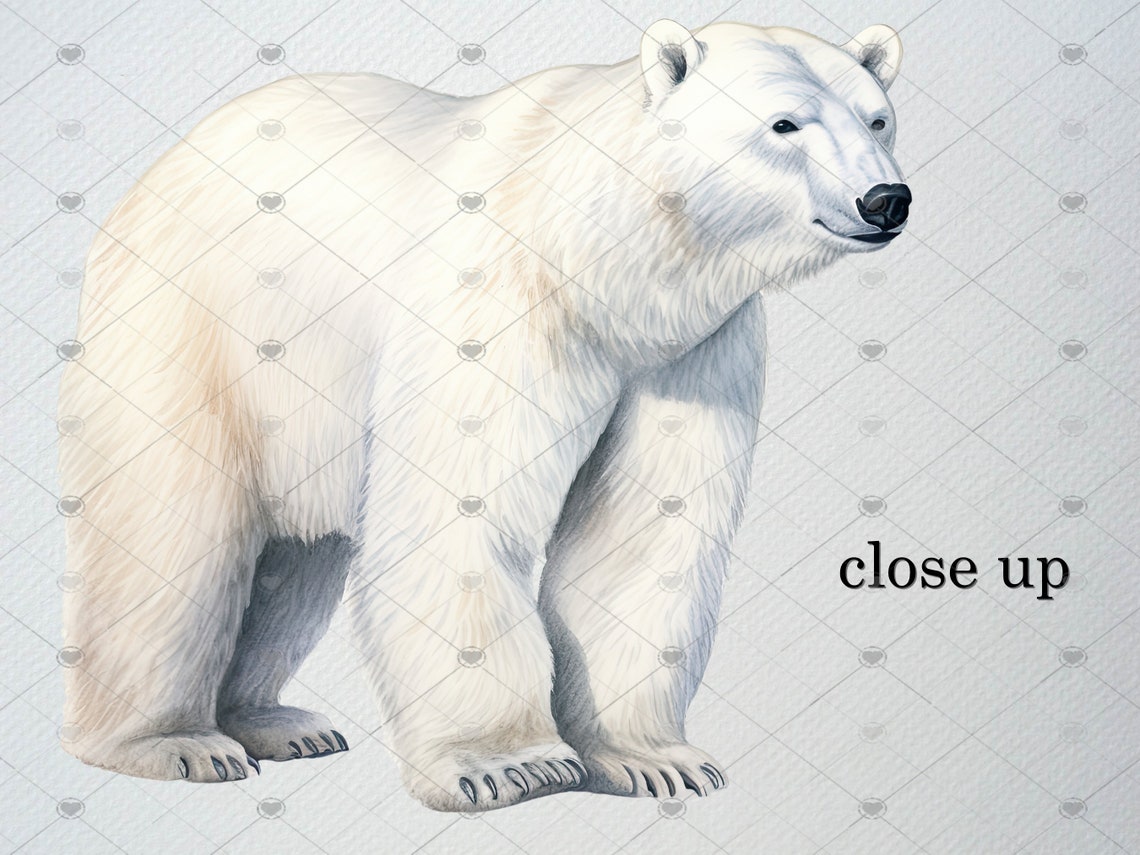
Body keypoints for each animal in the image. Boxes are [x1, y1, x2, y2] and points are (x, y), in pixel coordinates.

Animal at [57, 18, 909, 811]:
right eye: (784, 123)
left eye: (877, 120)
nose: (885, 199)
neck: (604, 264)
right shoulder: (496, 302)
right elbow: (466, 508)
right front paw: (508, 764)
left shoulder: (690, 350)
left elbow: (645, 529)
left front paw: (653, 759)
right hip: (198, 323)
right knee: (174, 526)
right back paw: (176, 741)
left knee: (294, 560)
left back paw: (278, 721)